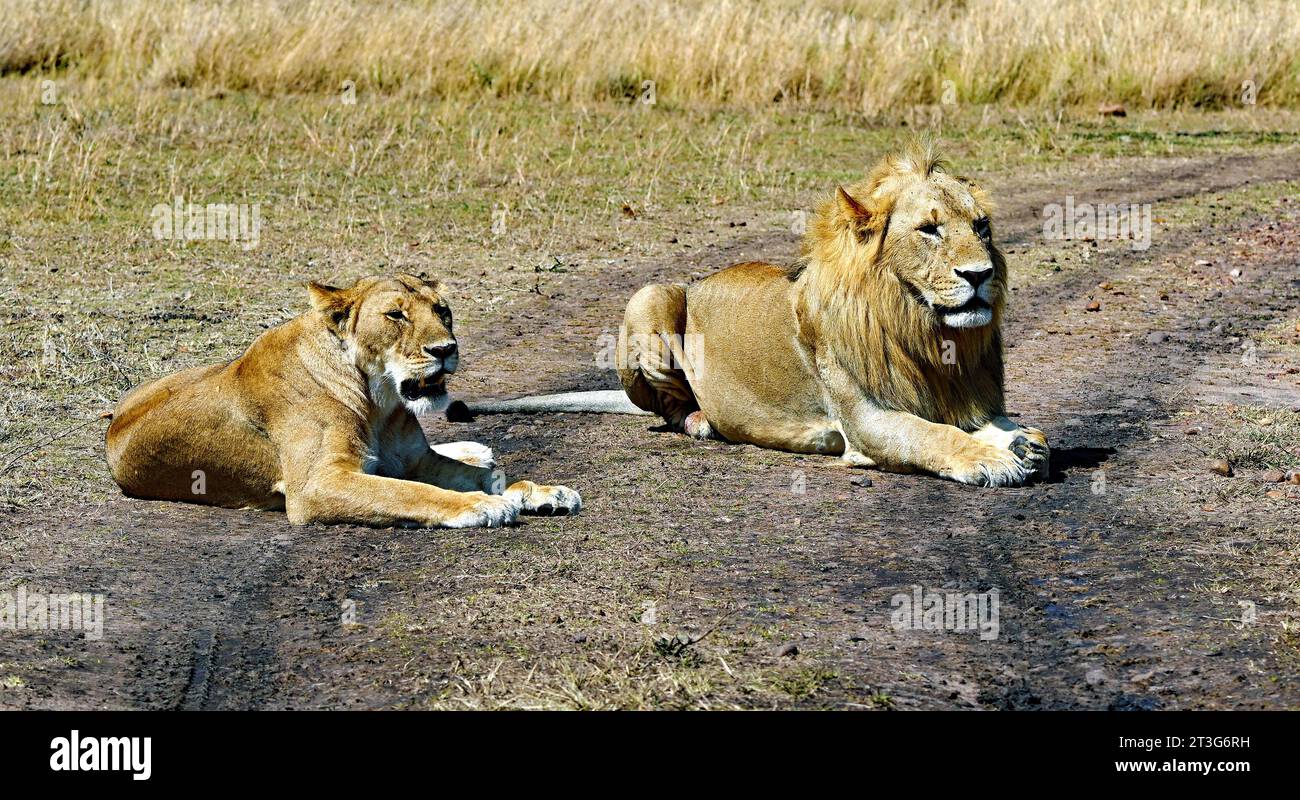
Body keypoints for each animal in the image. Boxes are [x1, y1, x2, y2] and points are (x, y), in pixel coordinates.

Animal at [105, 274, 581, 527]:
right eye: (396, 315)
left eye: (441, 310)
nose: (446, 349)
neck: (380, 403)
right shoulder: (318, 484)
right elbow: (408, 492)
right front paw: (480, 505)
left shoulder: (418, 459)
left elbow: (482, 475)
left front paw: (543, 491)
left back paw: (477, 448)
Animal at [449, 143, 1049, 486]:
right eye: (929, 229)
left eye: (982, 227)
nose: (980, 275)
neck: (922, 329)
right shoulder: (865, 421)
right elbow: (930, 436)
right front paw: (992, 460)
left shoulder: (967, 396)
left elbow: (1001, 426)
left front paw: (1023, 443)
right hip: (652, 297)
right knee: (667, 404)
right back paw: (698, 421)